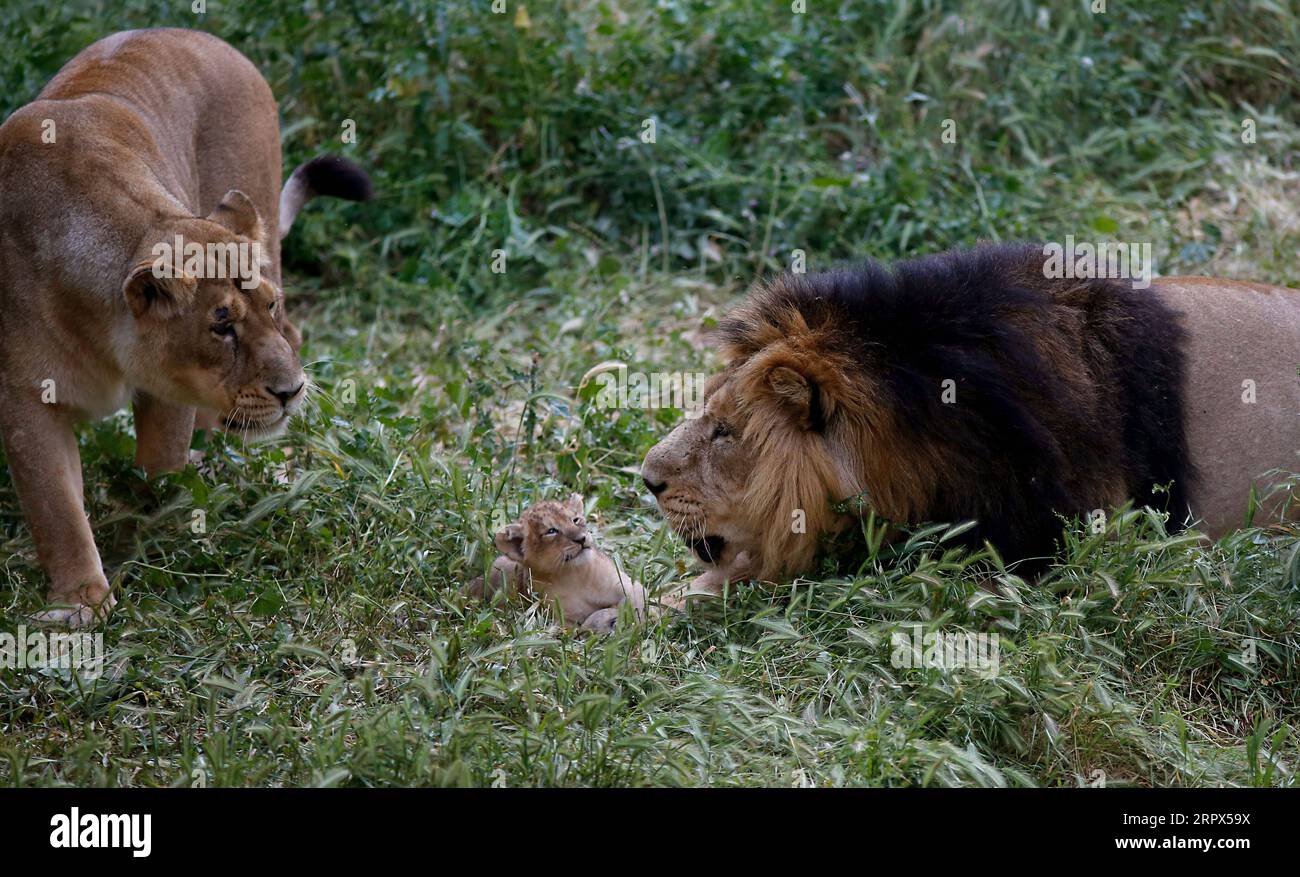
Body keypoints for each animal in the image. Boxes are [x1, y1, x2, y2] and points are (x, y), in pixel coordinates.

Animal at [0, 29, 371, 626]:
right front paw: (80, 604)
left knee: (291, 343)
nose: (290, 392)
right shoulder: (25, 397)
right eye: (222, 329)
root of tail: (206, 37)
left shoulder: (167, 390)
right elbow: (56, 509)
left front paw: (158, 522)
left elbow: (158, 466)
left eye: (267, 306)